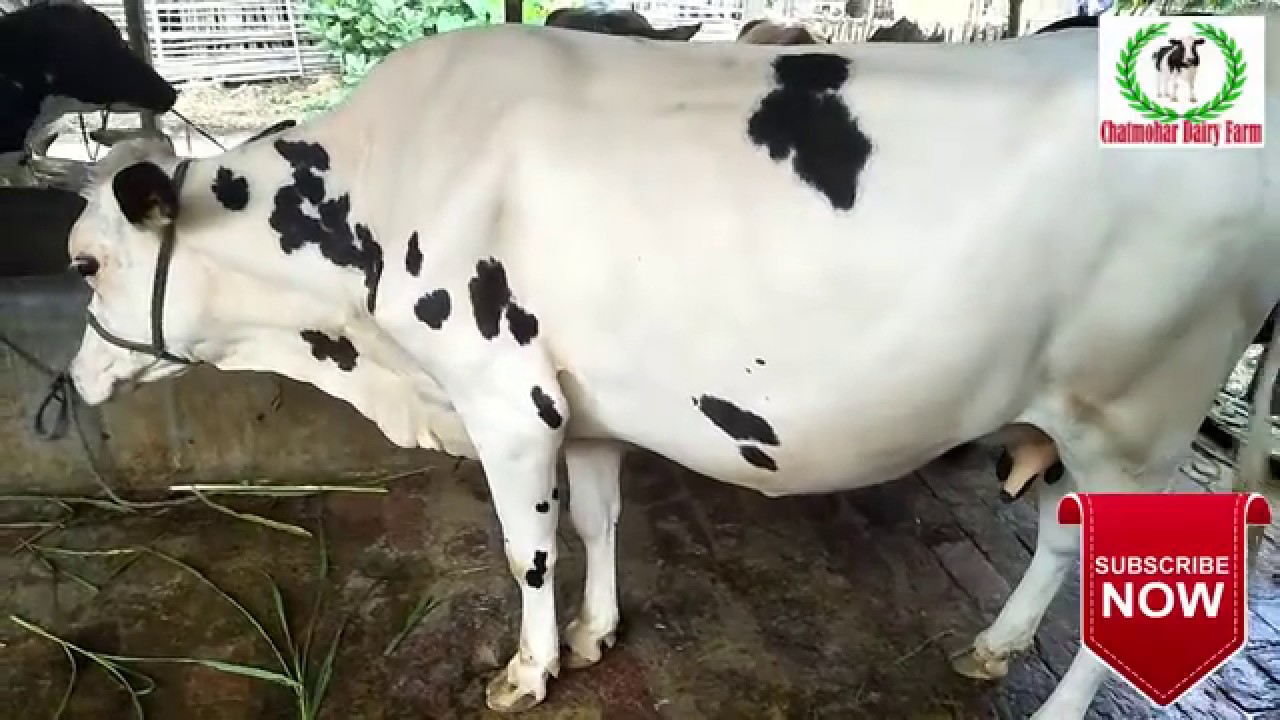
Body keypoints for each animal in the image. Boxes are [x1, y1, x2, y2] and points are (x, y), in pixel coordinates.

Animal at [62, 16, 1279, 719]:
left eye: (83, 263)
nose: (73, 385)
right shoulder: (583, 403)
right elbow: (599, 523)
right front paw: (597, 633)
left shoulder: (505, 400)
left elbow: (527, 549)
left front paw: (527, 672)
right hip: (1080, 419)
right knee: (1064, 536)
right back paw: (995, 645)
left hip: (1138, 415)